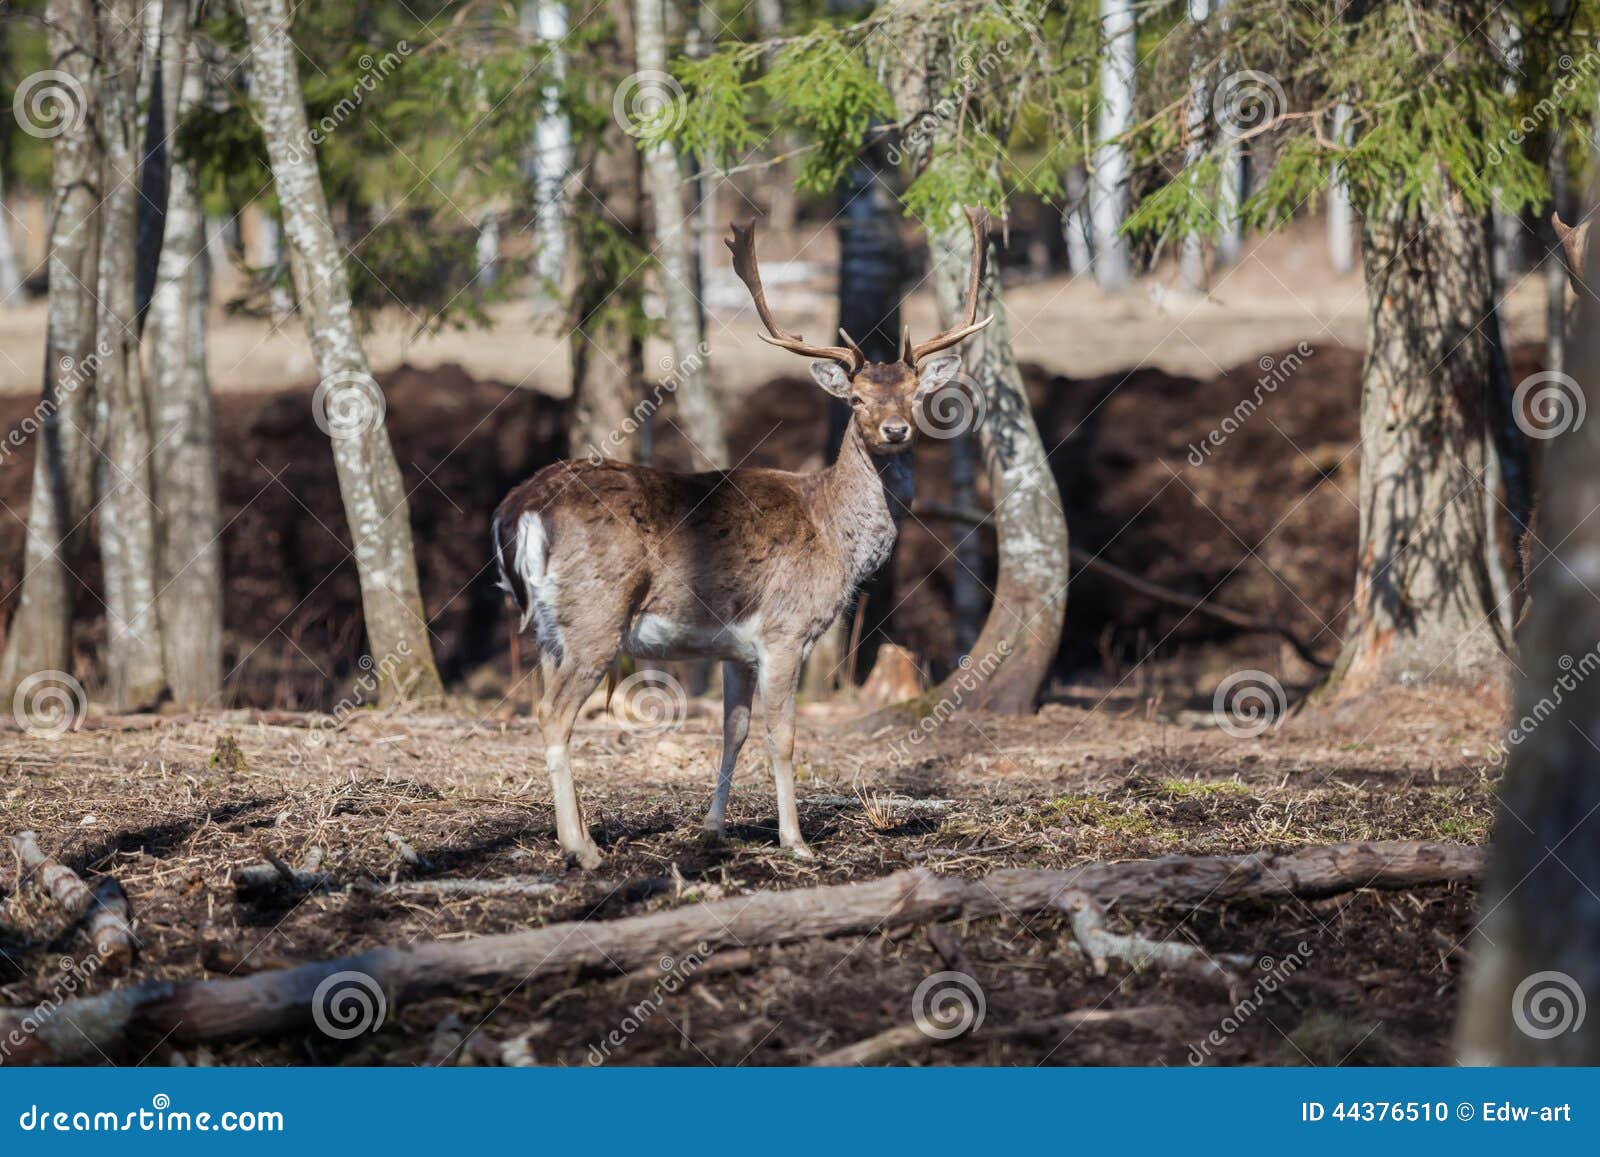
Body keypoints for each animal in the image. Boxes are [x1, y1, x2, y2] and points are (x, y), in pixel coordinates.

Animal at [492, 207, 994, 868]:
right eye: (857, 399)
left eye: (916, 396)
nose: (893, 430)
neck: (834, 536)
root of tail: (521, 506)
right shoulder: (786, 628)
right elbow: (783, 736)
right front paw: (796, 841)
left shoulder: (733, 647)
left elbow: (733, 730)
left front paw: (713, 828)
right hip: (597, 612)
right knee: (553, 714)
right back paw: (586, 850)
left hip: (551, 624)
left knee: (543, 706)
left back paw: (574, 839)